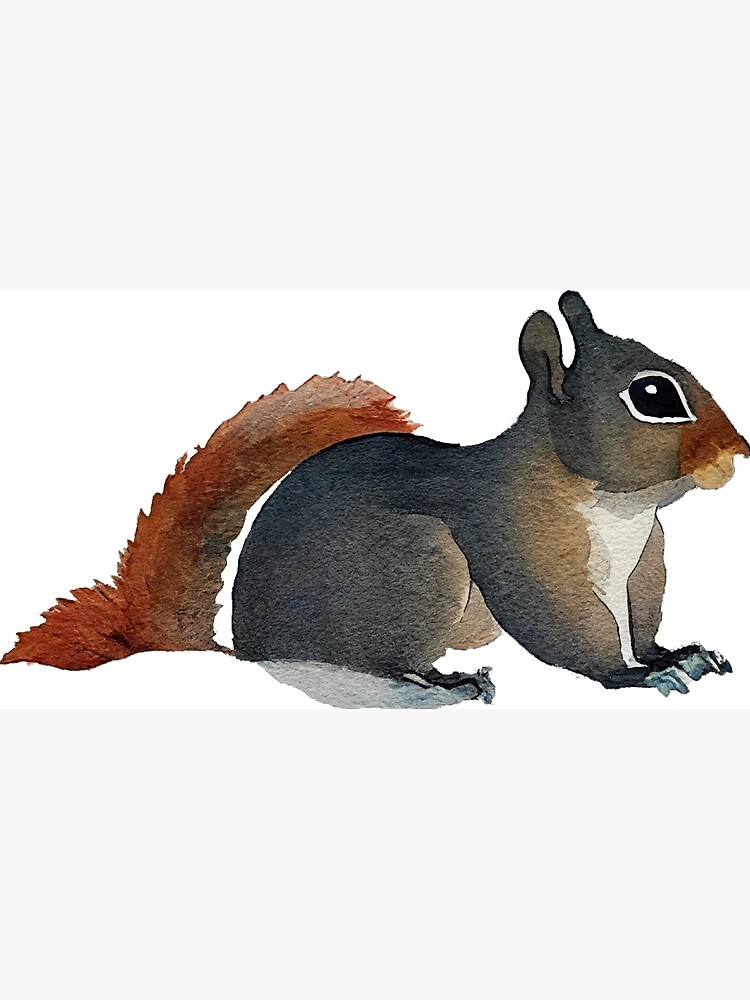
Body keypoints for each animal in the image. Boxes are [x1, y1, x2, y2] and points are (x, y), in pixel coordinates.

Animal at [4, 292, 747, 706]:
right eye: (651, 395)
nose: (737, 450)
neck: (620, 511)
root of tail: (247, 649)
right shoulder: (514, 538)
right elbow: (562, 623)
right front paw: (628, 678)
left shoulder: (643, 563)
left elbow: (641, 621)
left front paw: (671, 656)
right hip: (419, 562)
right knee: (385, 659)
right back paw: (442, 682)